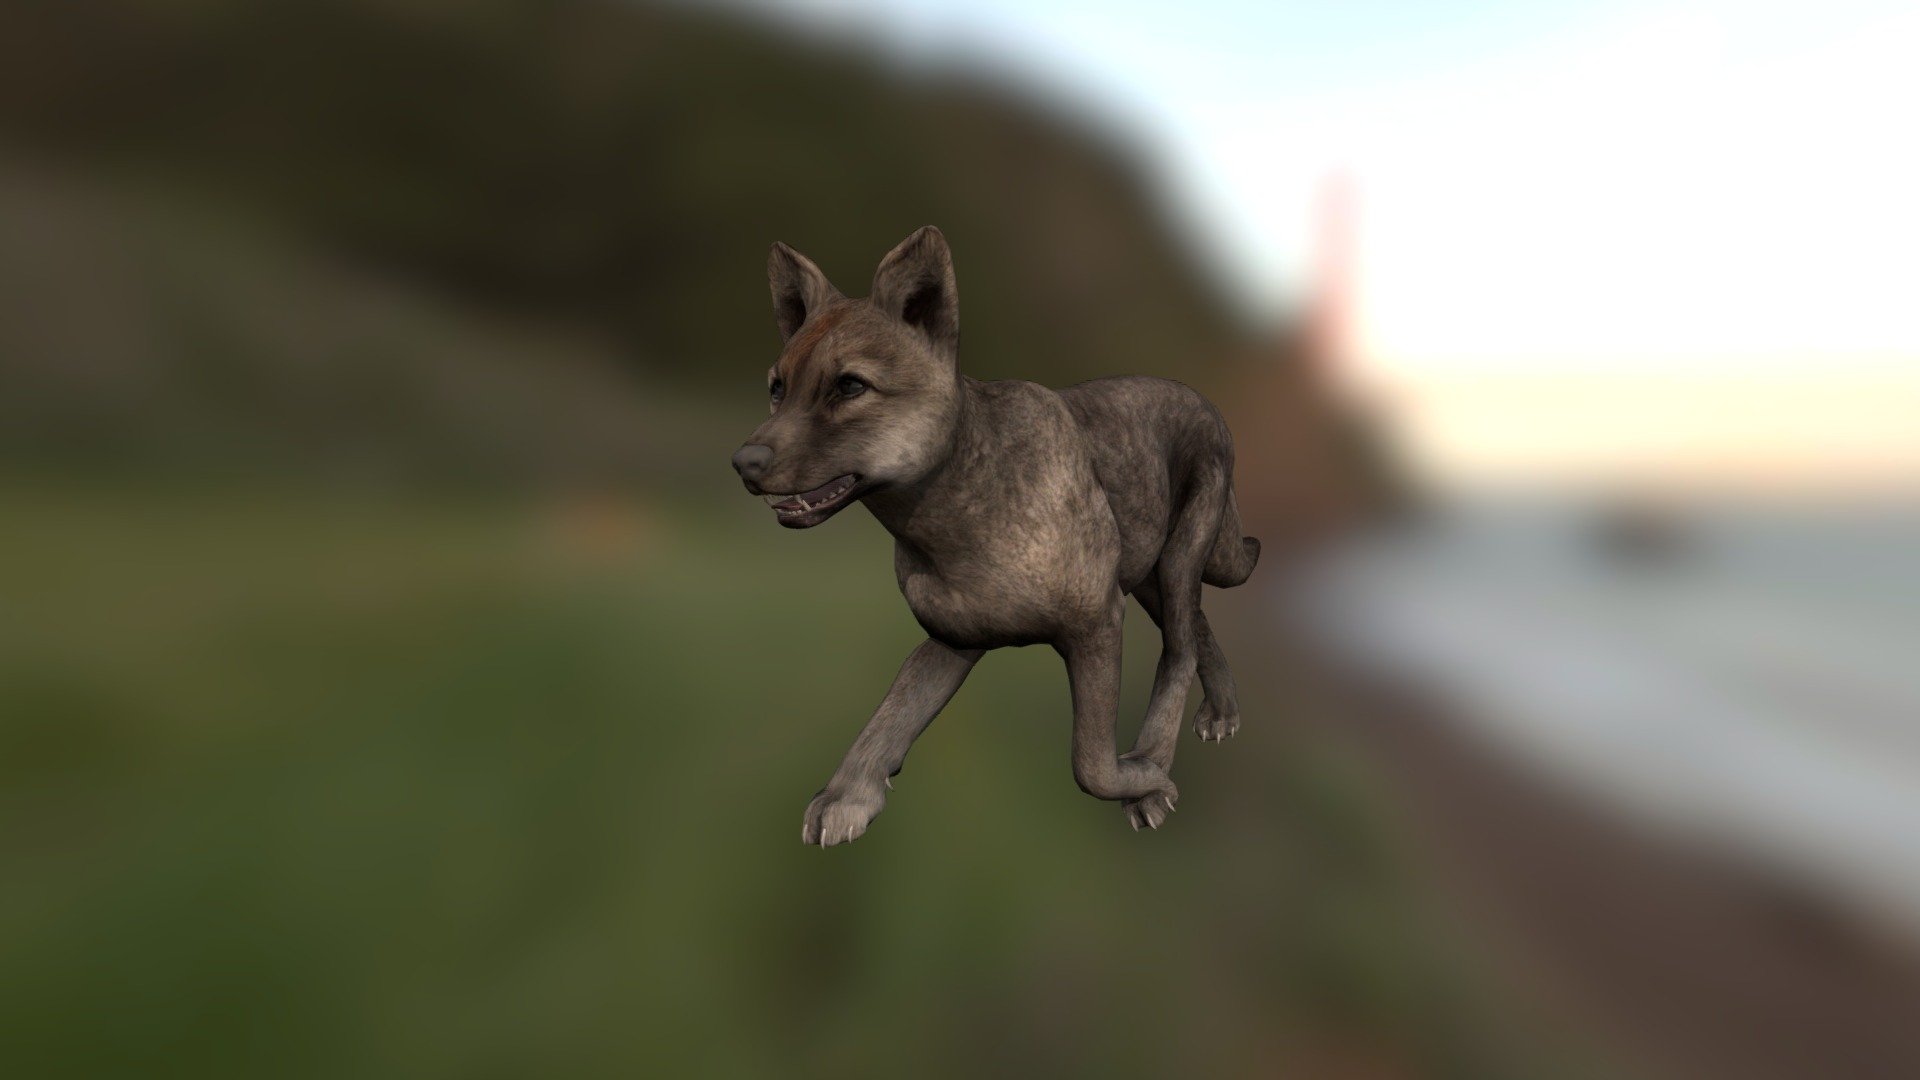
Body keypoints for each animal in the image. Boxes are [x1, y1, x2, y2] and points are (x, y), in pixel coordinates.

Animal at [731, 226, 1261, 846]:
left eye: (849, 386)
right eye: (777, 389)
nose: (743, 463)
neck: (956, 508)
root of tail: (1206, 401)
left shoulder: (1098, 624)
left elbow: (1089, 764)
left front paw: (1145, 779)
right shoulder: (952, 640)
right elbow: (888, 717)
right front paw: (846, 798)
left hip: (1176, 561)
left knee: (1178, 649)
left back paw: (1156, 760)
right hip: (1149, 572)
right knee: (1197, 626)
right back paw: (1222, 712)